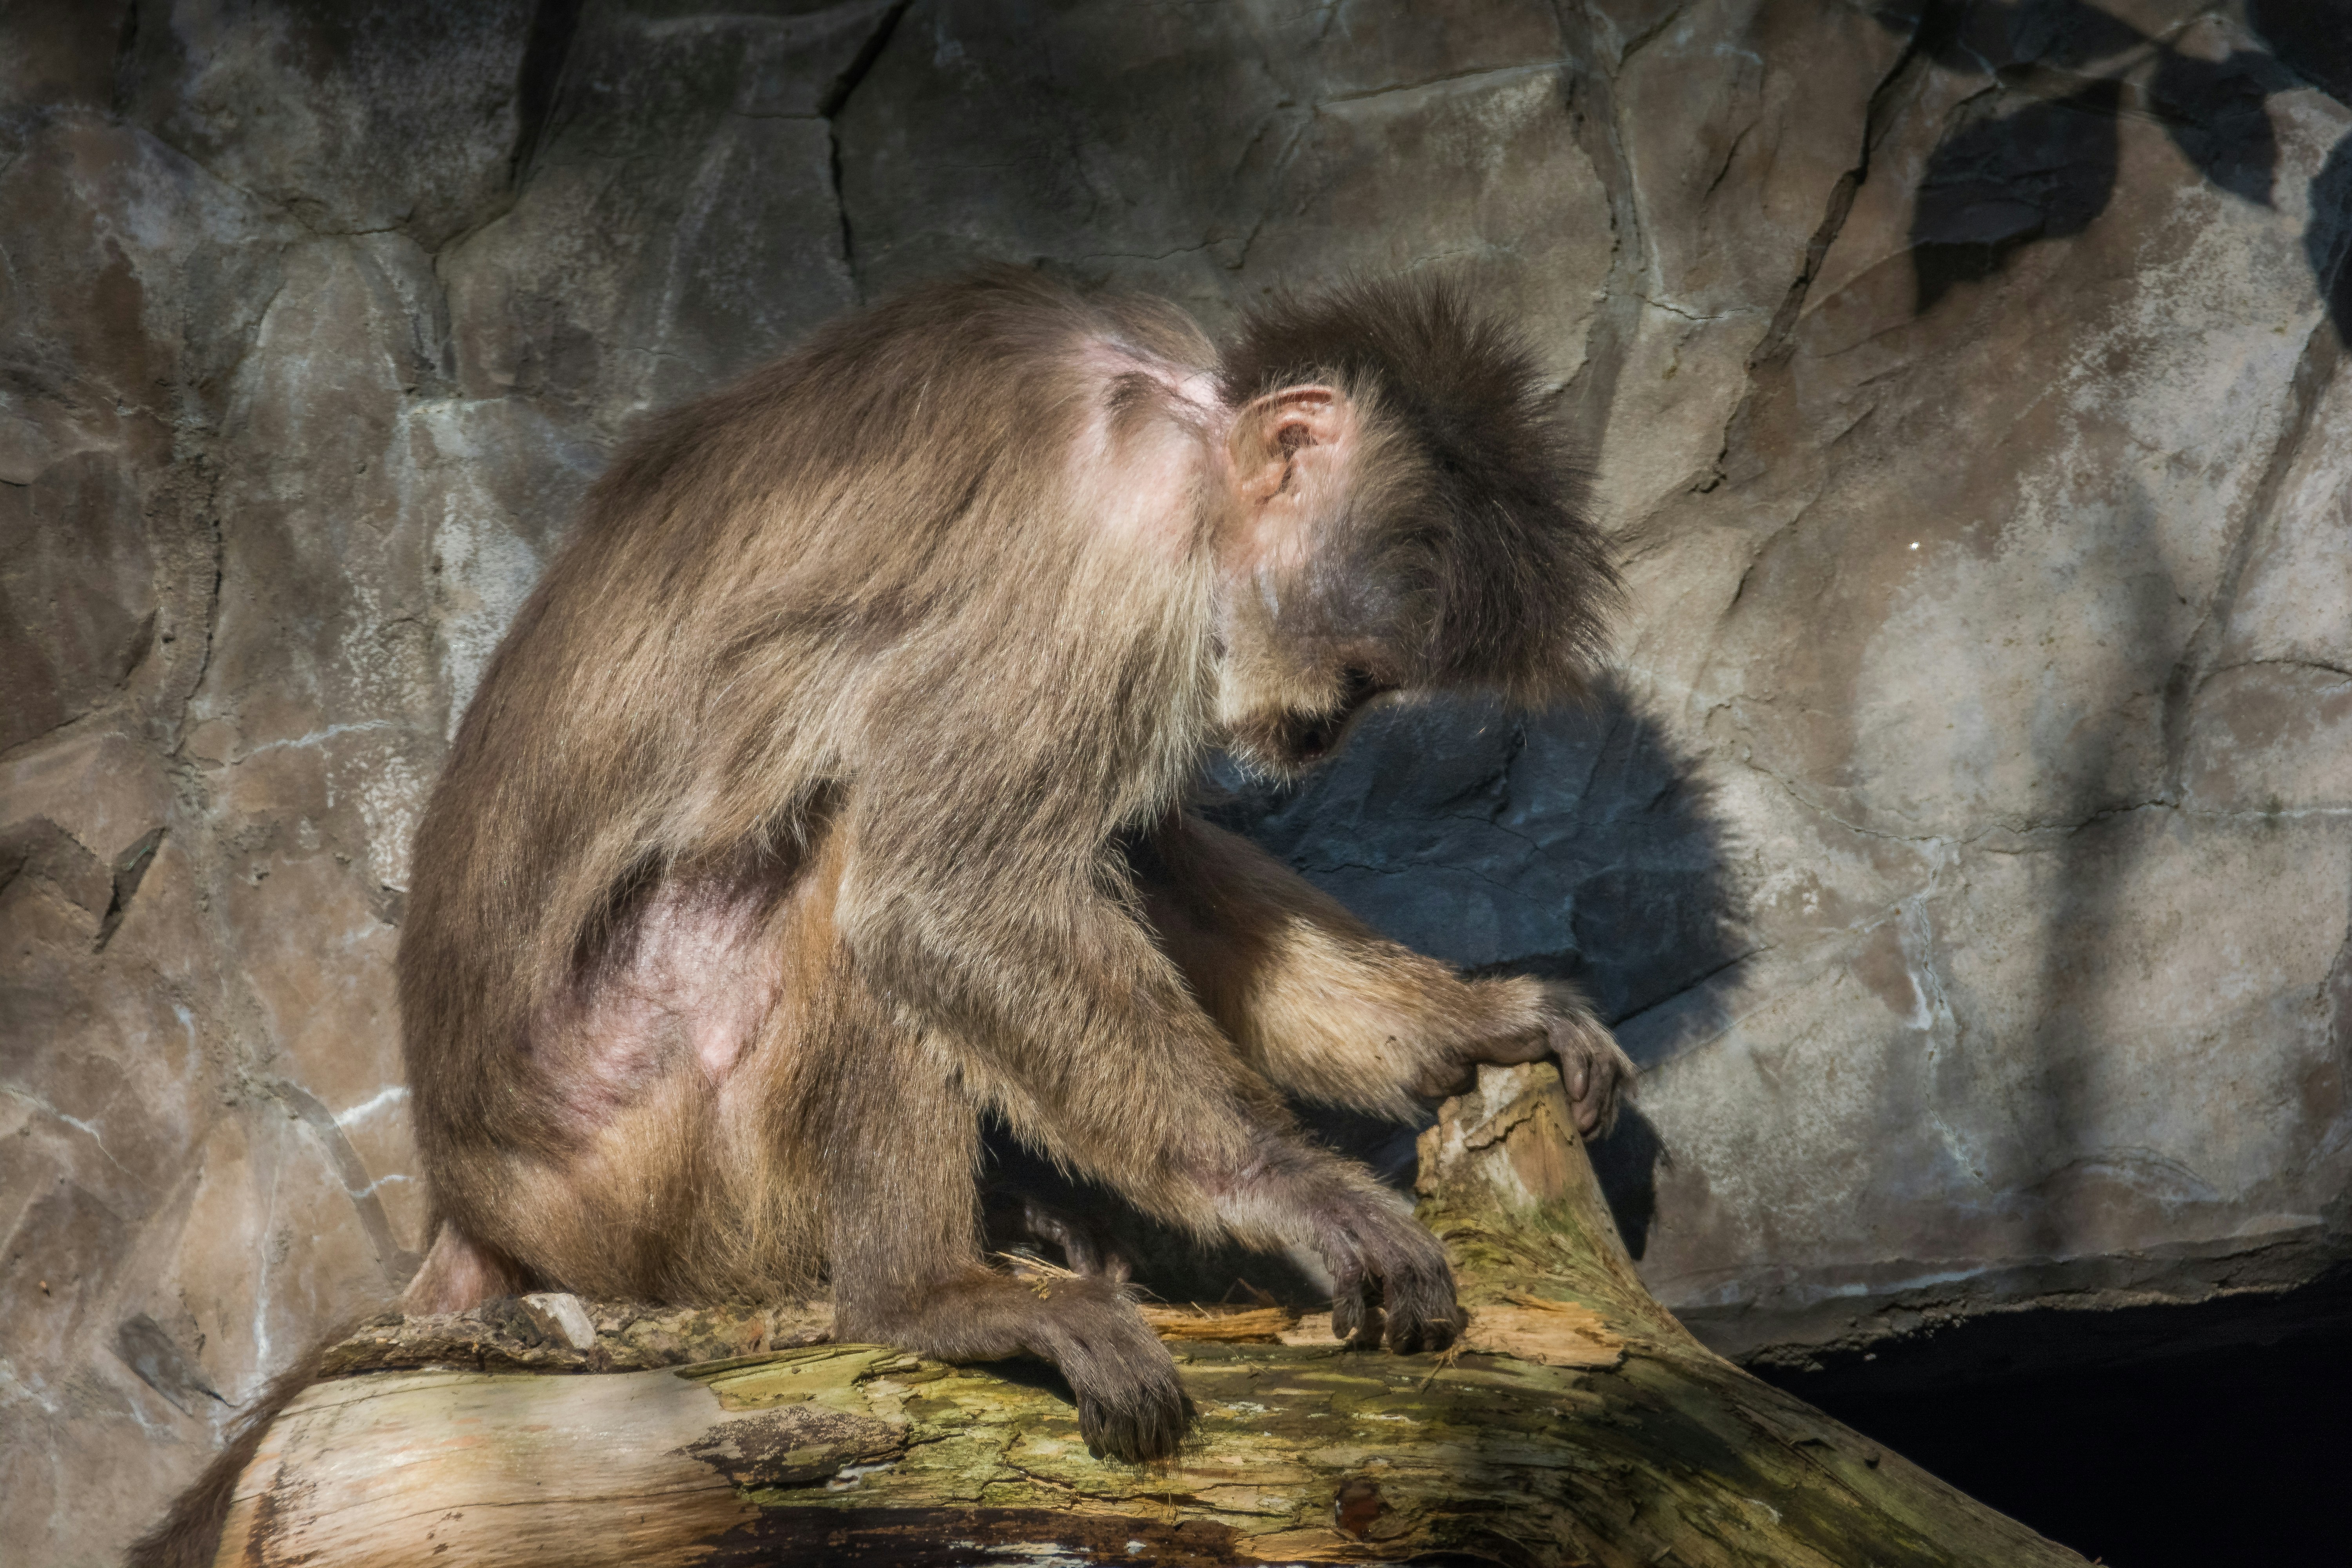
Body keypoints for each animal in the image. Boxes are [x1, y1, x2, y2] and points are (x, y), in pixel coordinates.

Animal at [131, 268, 1631, 1564]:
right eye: (1361, 677)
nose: (1319, 735)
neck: (1174, 410)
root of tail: (466, 1184)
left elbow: (1128, 855)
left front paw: (1473, 1024)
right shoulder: (1112, 538)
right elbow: (947, 902)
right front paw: (1290, 1187)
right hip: (645, 1165)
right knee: (855, 863)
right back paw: (924, 1302)